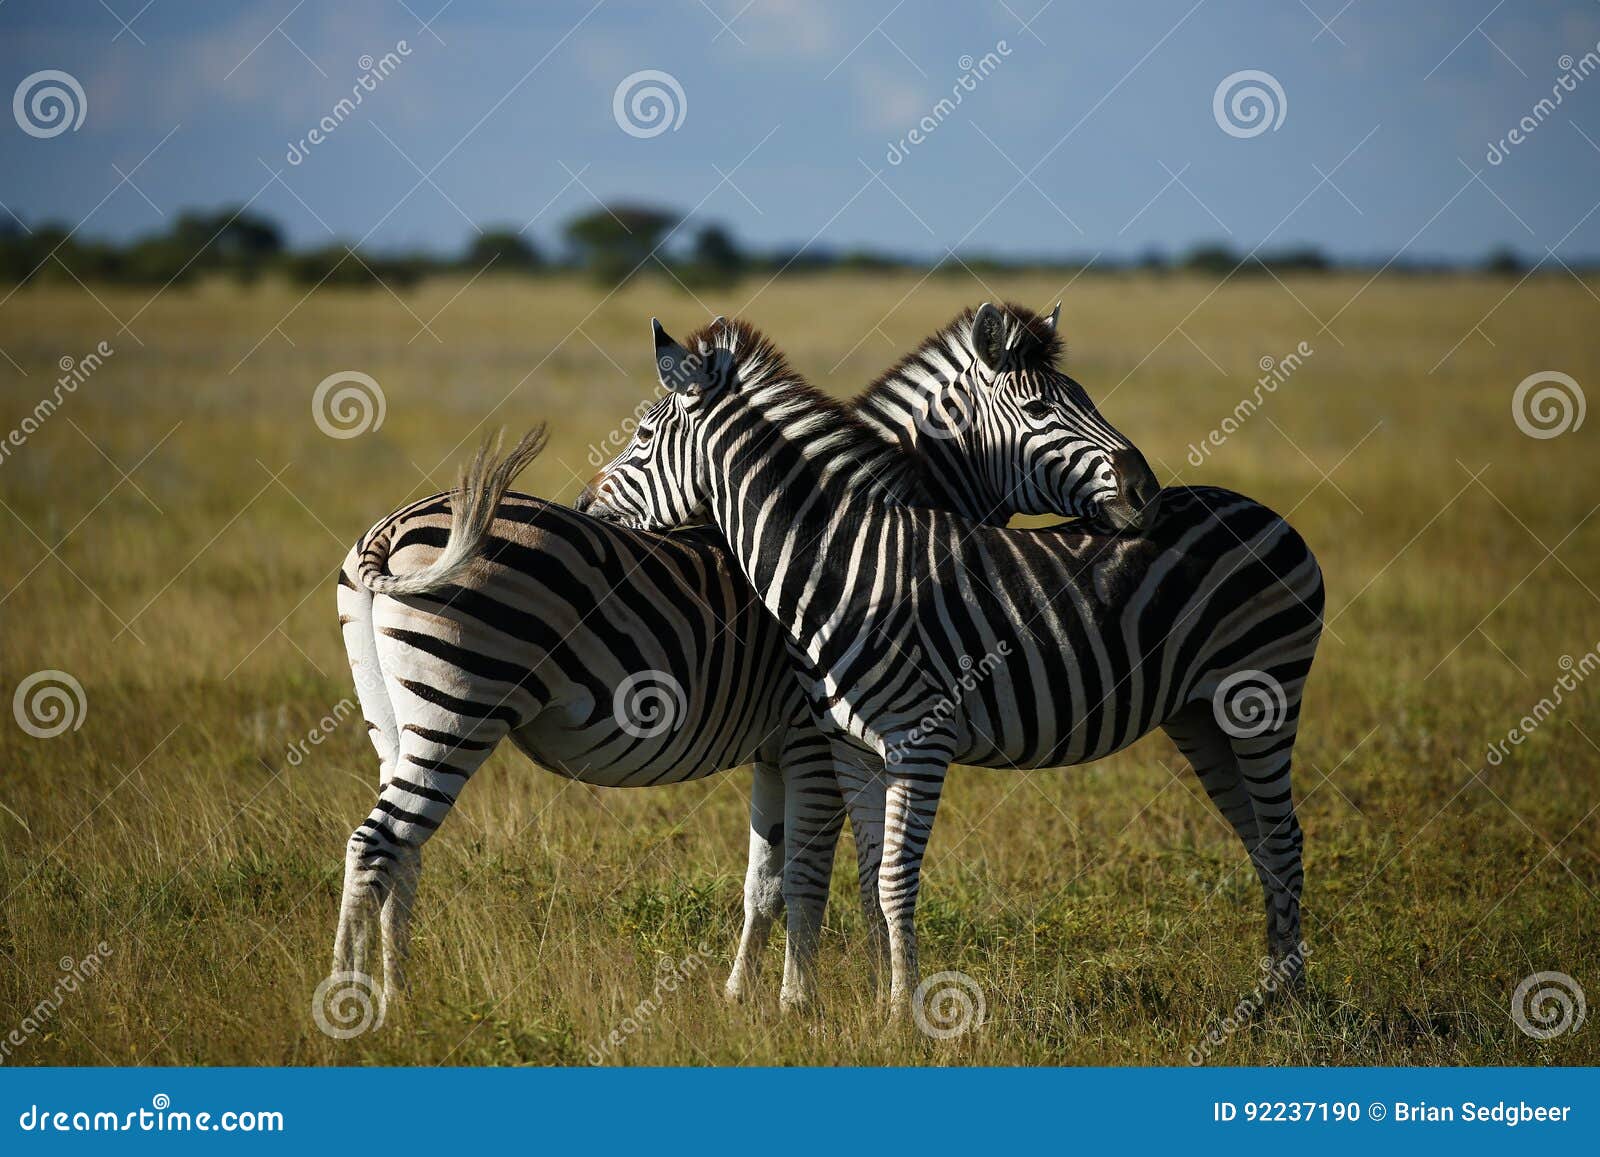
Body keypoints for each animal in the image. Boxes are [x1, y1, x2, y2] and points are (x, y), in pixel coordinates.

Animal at [329, 303, 1158, 1009]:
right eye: (1044, 411)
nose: (1146, 487)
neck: (856, 540)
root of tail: (390, 529)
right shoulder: (815, 740)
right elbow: (813, 877)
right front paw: (807, 1002)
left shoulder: (775, 750)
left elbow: (768, 881)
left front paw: (744, 996)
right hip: (458, 707)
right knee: (378, 842)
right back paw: (354, 1006)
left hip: (397, 721)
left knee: (403, 850)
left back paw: (397, 992)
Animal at [582, 316, 1326, 1012]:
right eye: (1042, 407)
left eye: (642, 434)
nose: (585, 504)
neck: (840, 561)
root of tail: (1269, 514)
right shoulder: (851, 746)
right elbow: (864, 875)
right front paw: (871, 1001)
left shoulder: (914, 740)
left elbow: (878, 880)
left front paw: (892, 1012)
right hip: (1200, 716)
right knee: (1259, 838)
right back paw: (1266, 993)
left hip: (1260, 698)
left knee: (1284, 838)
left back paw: (1288, 999)